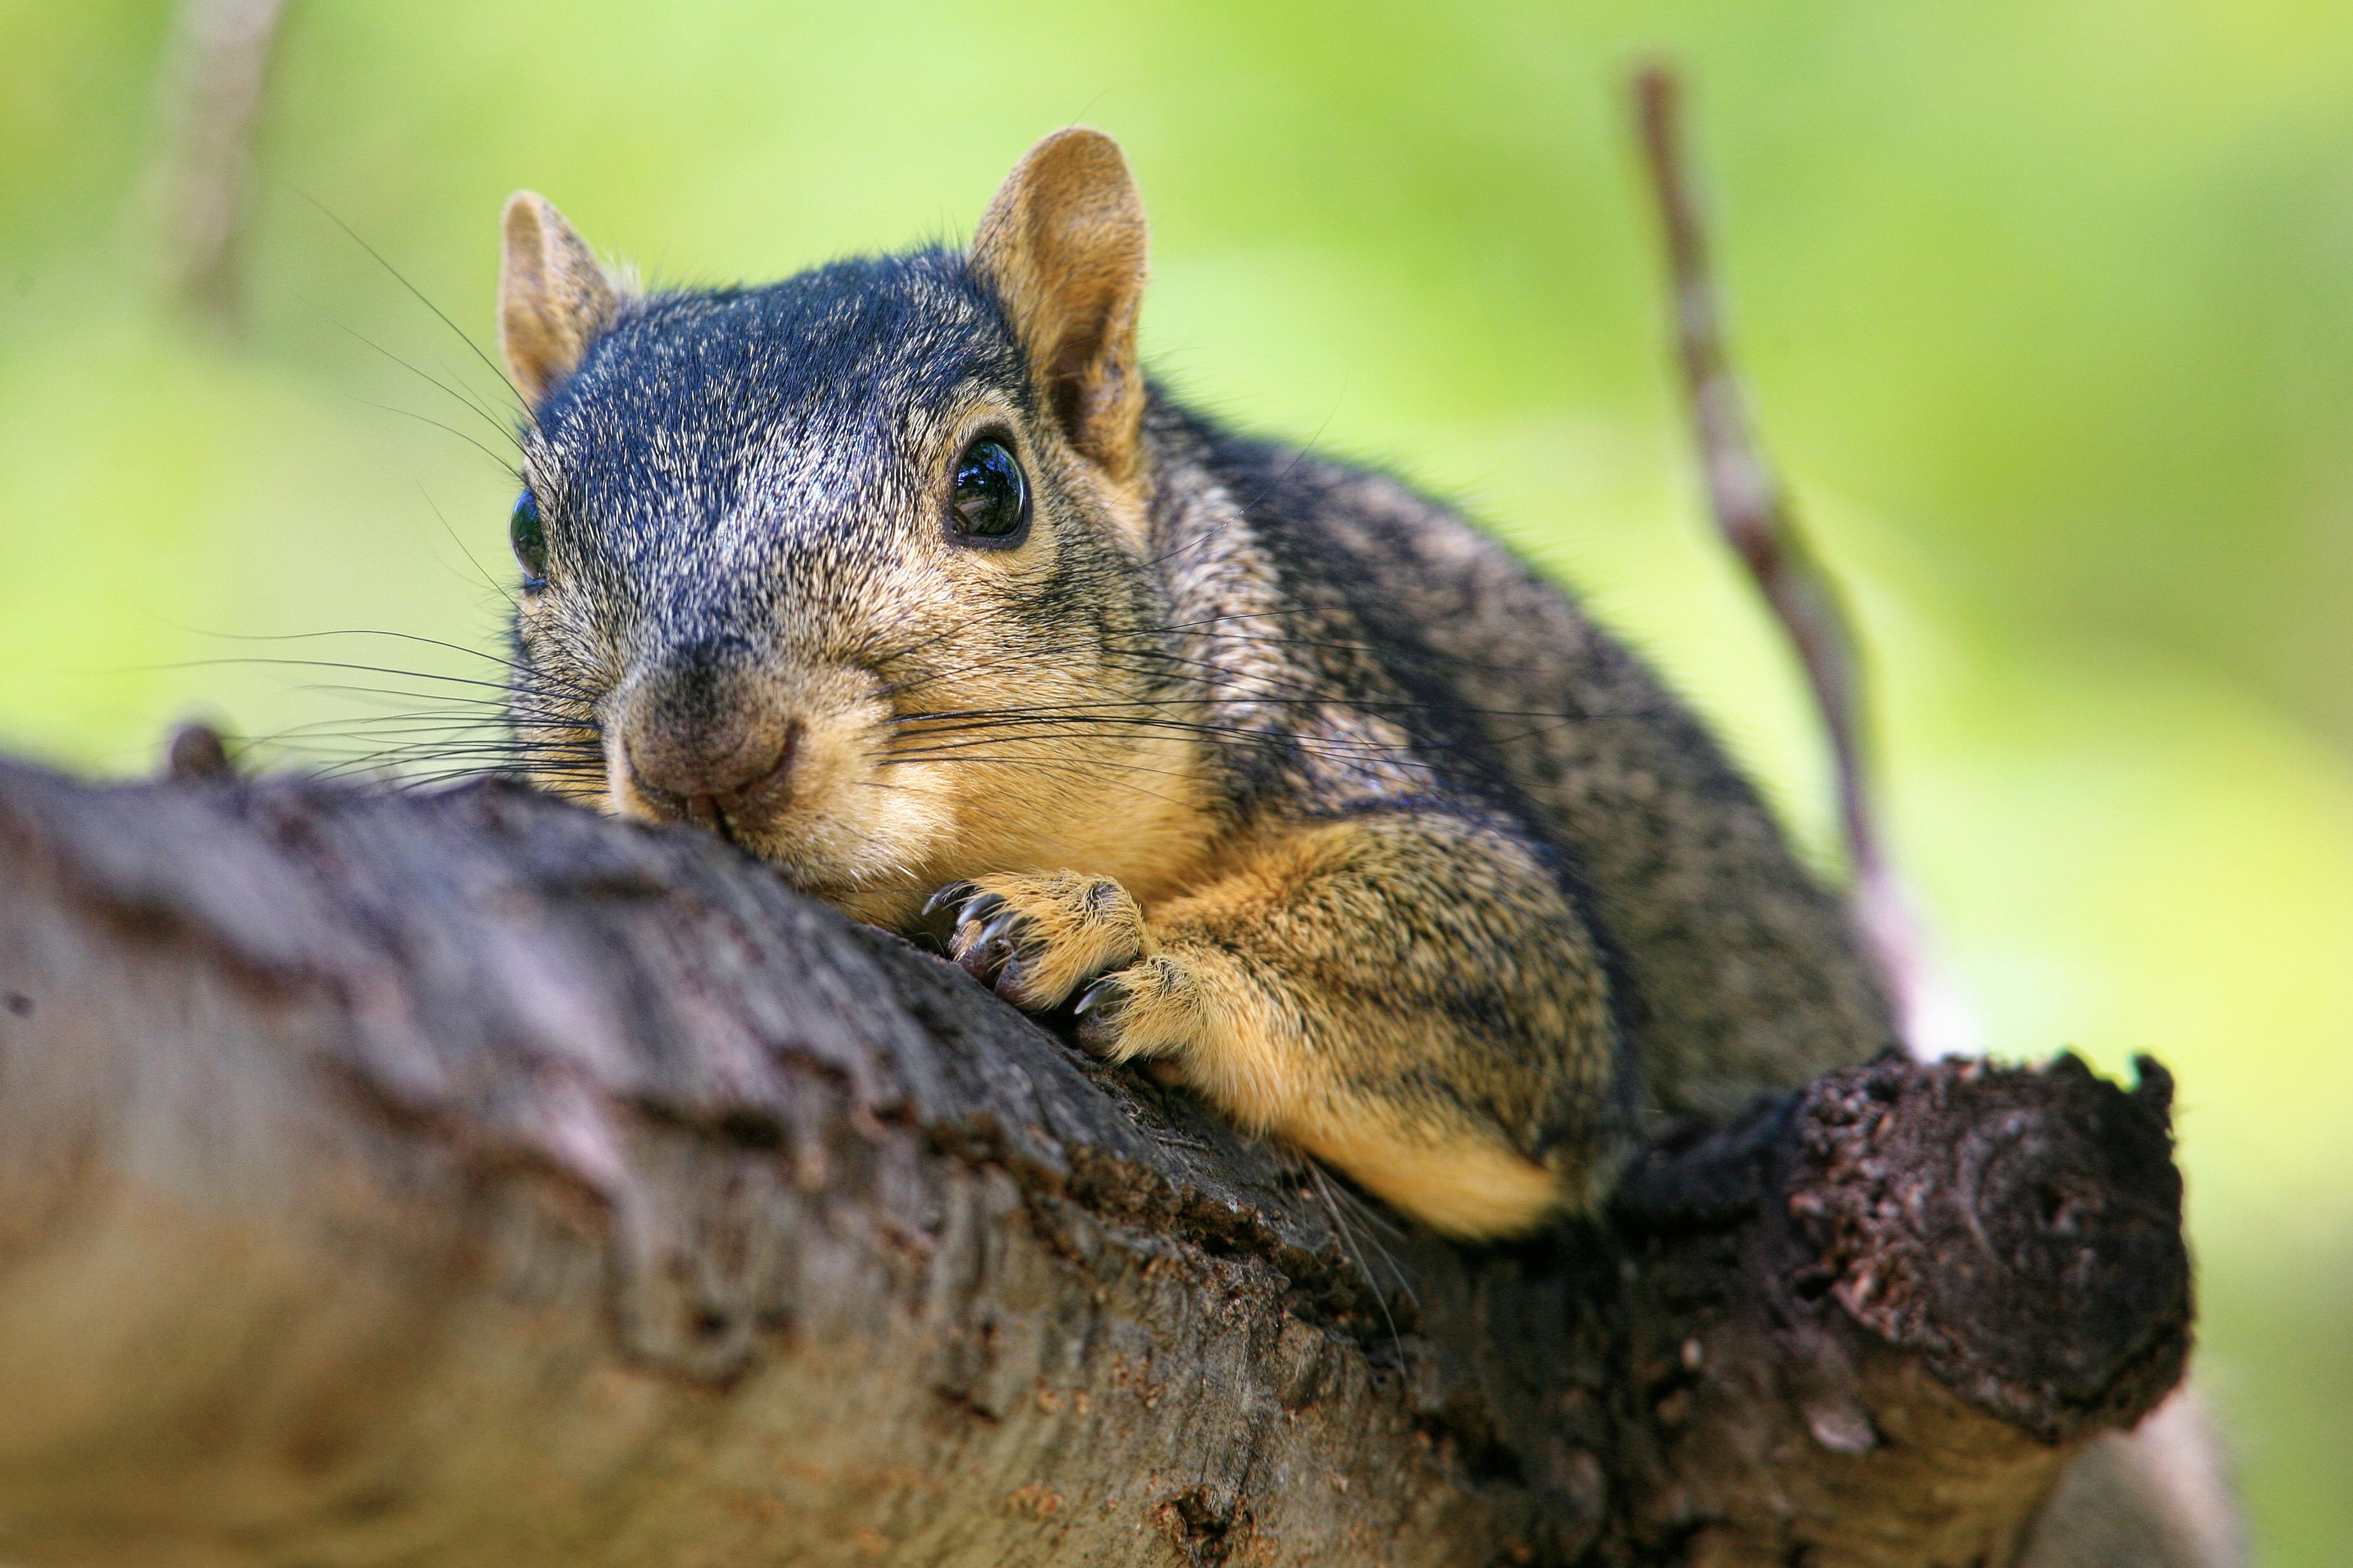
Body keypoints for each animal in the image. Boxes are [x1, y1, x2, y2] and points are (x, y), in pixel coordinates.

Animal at [495, 127, 1900, 1239]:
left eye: (992, 484)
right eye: (525, 531)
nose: (701, 749)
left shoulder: (1353, 731)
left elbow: (1517, 955)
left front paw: (1107, 930)